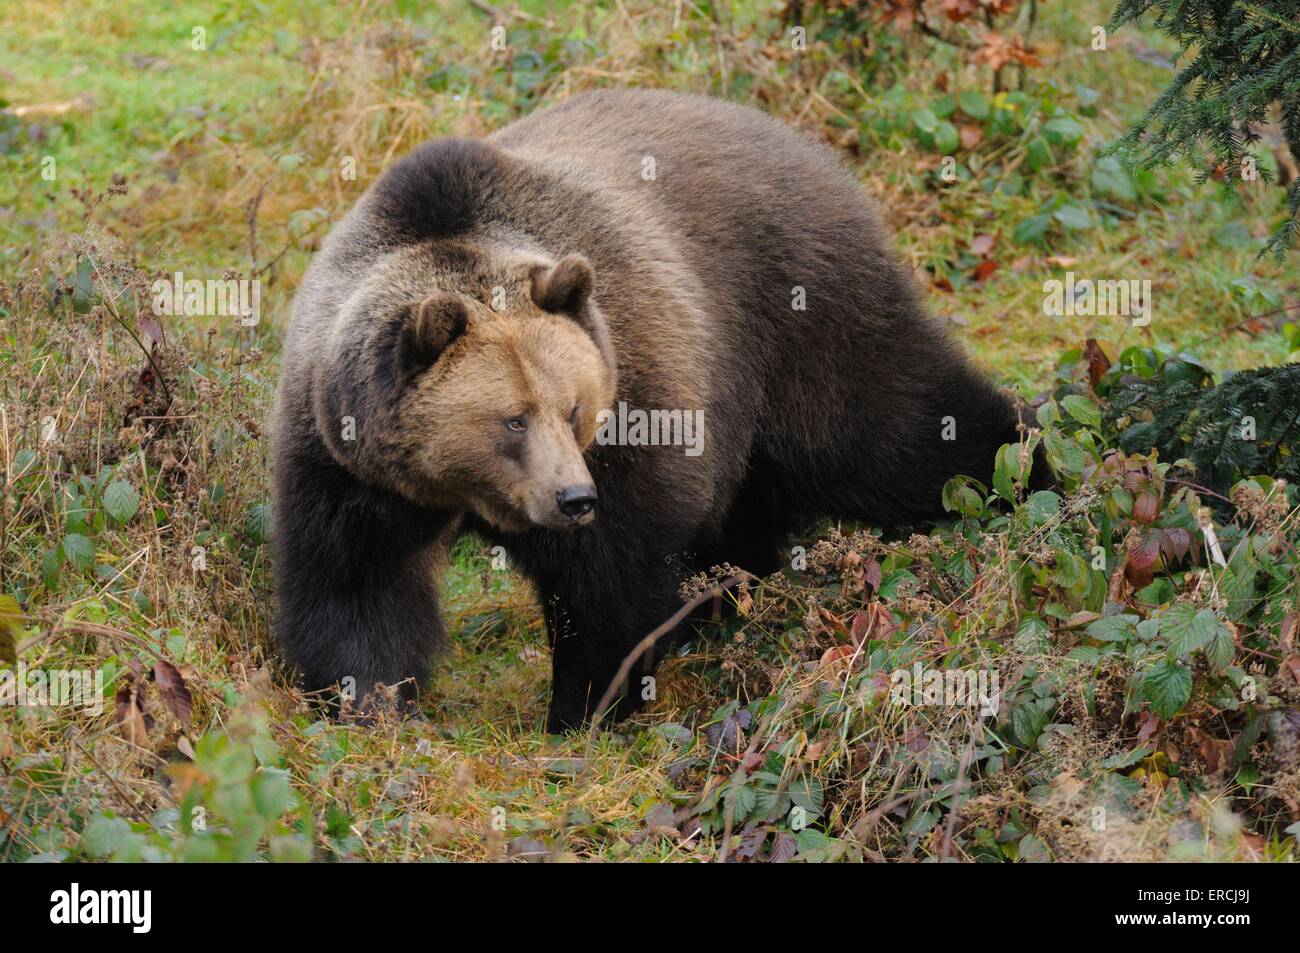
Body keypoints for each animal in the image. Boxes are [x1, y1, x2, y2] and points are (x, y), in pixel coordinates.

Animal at [272, 88, 1036, 732]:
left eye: (572, 407)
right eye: (512, 418)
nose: (572, 497)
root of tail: (805, 143)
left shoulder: (635, 398)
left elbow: (611, 576)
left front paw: (584, 705)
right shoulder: (345, 453)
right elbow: (354, 580)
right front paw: (366, 701)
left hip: (797, 311)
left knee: (892, 427)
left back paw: (1023, 471)